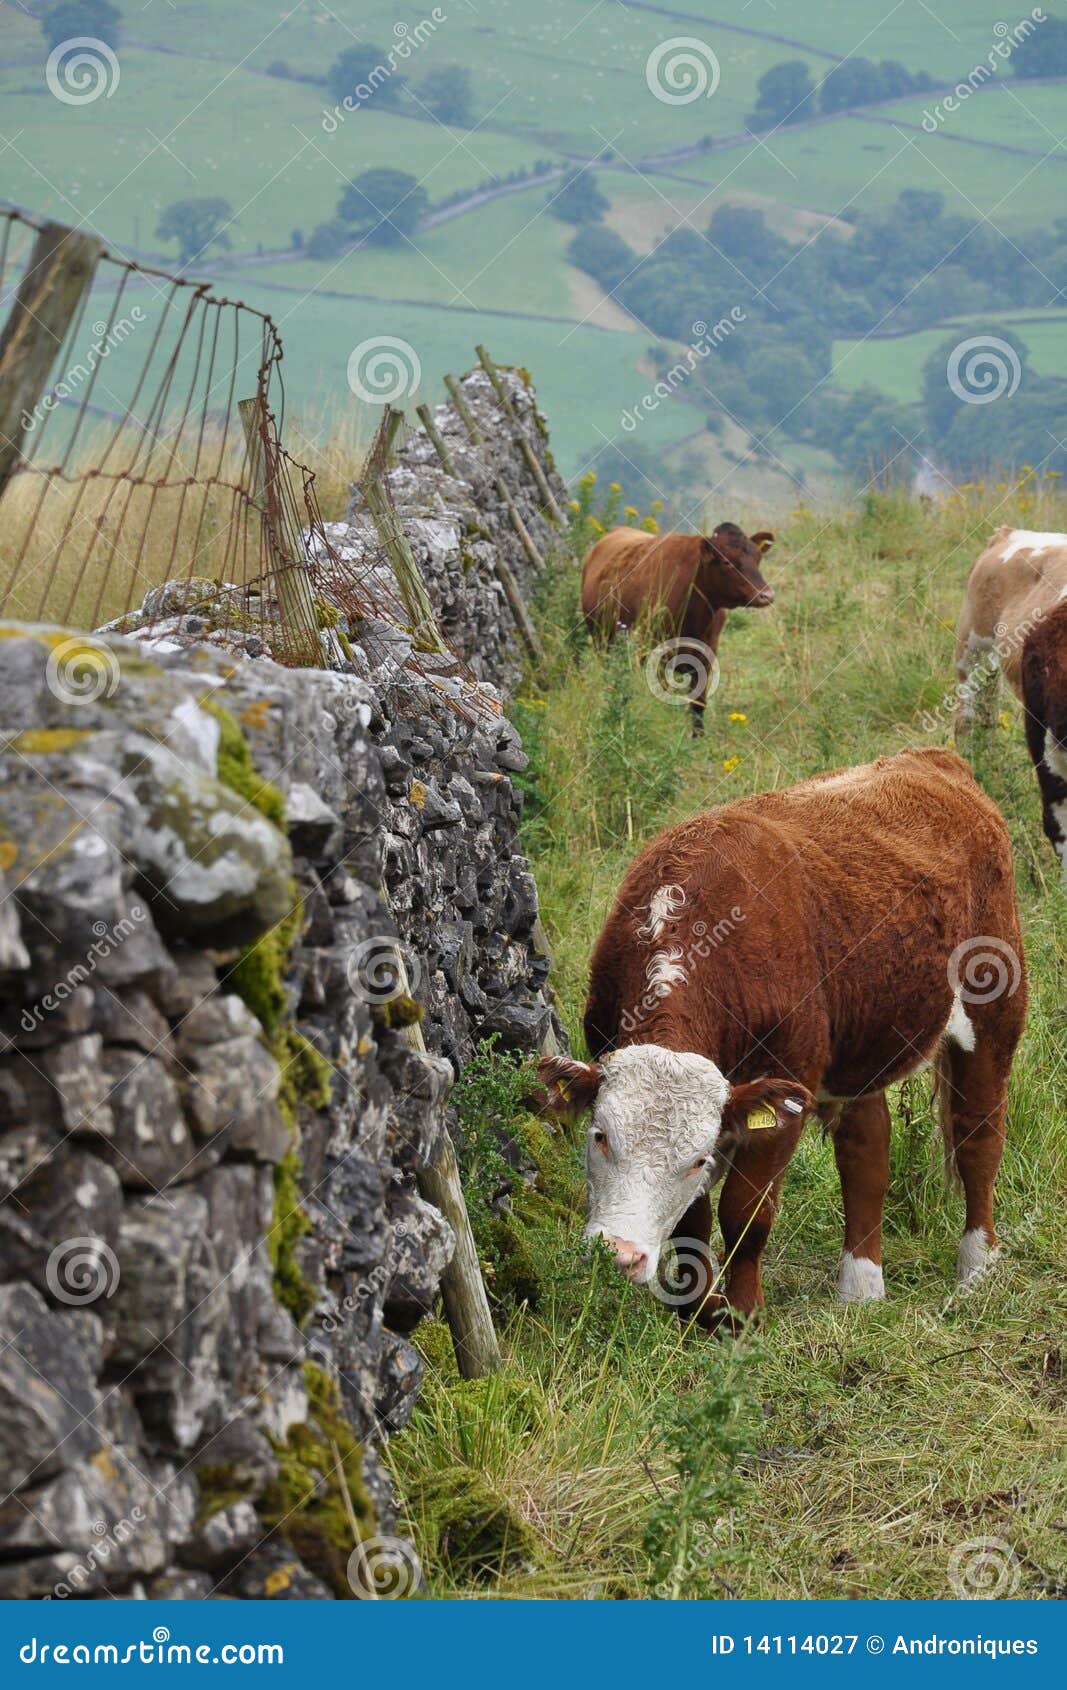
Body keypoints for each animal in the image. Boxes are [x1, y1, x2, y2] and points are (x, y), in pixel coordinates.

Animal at [536, 749, 1026, 1333]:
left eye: (695, 1159)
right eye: (600, 1135)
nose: (621, 1253)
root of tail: (933, 759)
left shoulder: (783, 1093)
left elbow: (744, 1212)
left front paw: (744, 1313)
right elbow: (695, 1220)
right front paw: (698, 1309)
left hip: (994, 1013)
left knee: (978, 1137)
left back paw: (977, 1267)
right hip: (858, 1048)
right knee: (867, 1149)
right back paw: (860, 1287)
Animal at [580, 523, 776, 733]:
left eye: (757, 558)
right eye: (727, 562)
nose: (766, 595)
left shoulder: (706, 657)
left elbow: (698, 705)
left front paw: (698, 736)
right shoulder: (657, 657)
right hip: (602, 642)